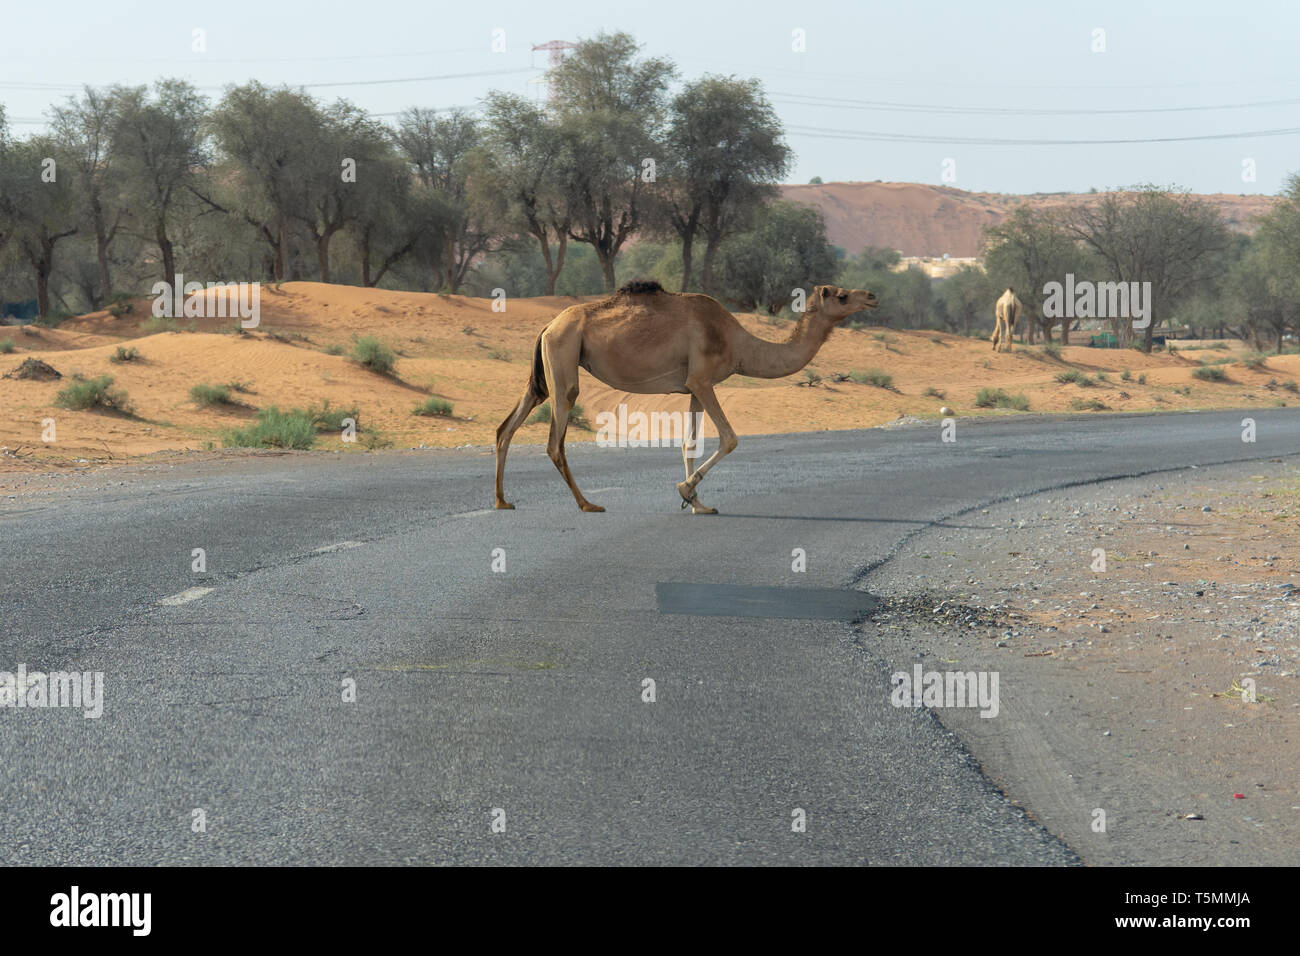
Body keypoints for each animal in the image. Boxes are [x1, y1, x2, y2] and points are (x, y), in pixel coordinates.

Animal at [494, 279, 878, 514]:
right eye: (842, 295)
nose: (872, 296)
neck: (739, 344)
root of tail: (549, 325)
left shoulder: (693, 386)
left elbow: (689, 444)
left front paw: (698, 504)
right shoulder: (704, 379)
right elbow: (730, 438)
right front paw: (685, 489)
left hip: (546, 368)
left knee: (506, 428)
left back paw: (502, 501)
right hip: (564, 357)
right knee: (555, 440)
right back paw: (587, 504)